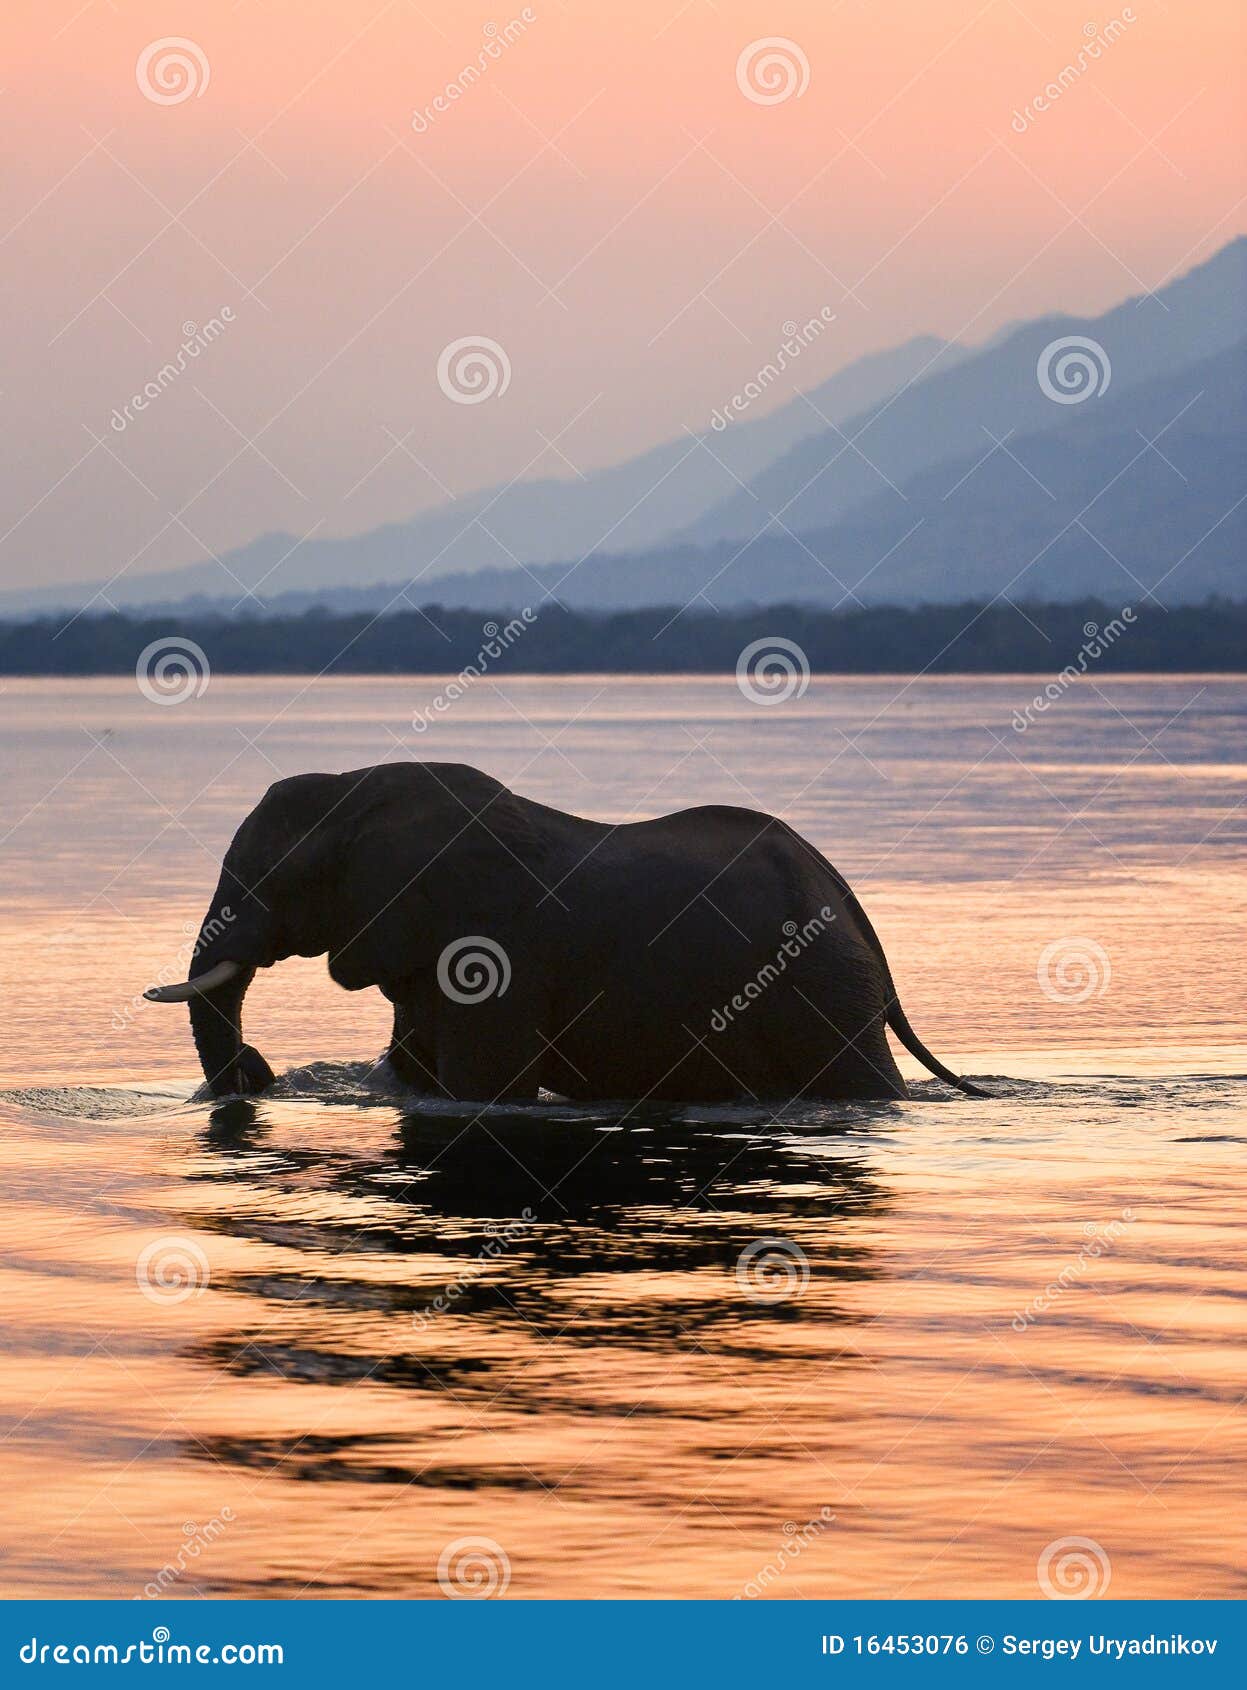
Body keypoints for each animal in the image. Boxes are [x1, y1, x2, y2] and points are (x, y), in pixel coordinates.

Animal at [144, 762, 986, 1103]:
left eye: (278, 880)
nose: (255, 1069)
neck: (355, 790)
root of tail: (842, 891)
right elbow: (416, 1068)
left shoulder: (492, 945)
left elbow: (484, 1086)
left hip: (821, 982)